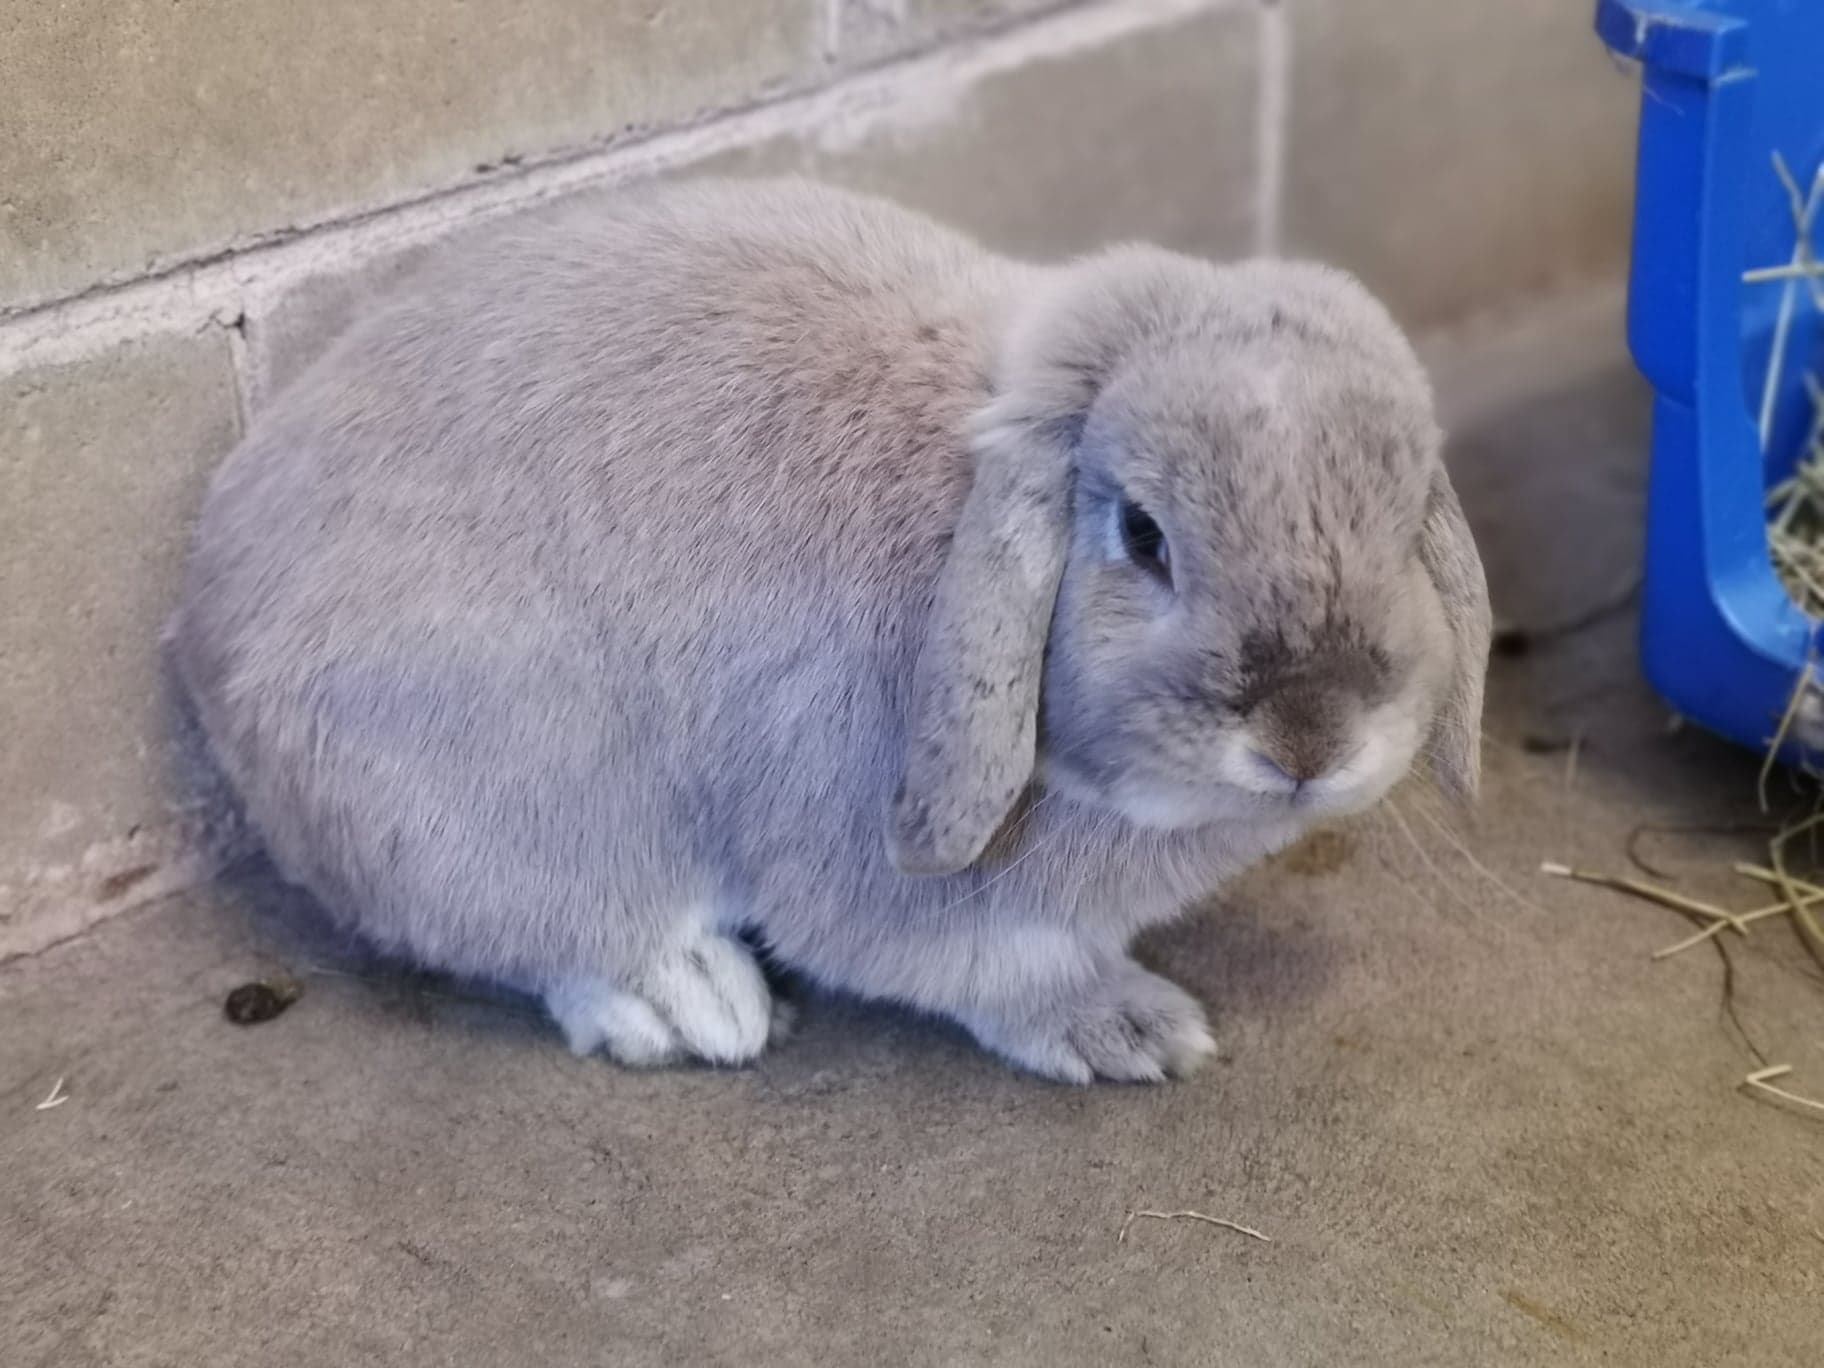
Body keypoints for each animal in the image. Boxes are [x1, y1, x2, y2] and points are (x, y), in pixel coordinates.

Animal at [170, 177, 1491, 1084]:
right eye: (1144, 534)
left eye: (1402, 518)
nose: (1310, 737)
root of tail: (207, 629)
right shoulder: (866, 852)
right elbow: (988, 961)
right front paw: (1134, 1030)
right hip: (498, 792)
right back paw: (695, 1007)